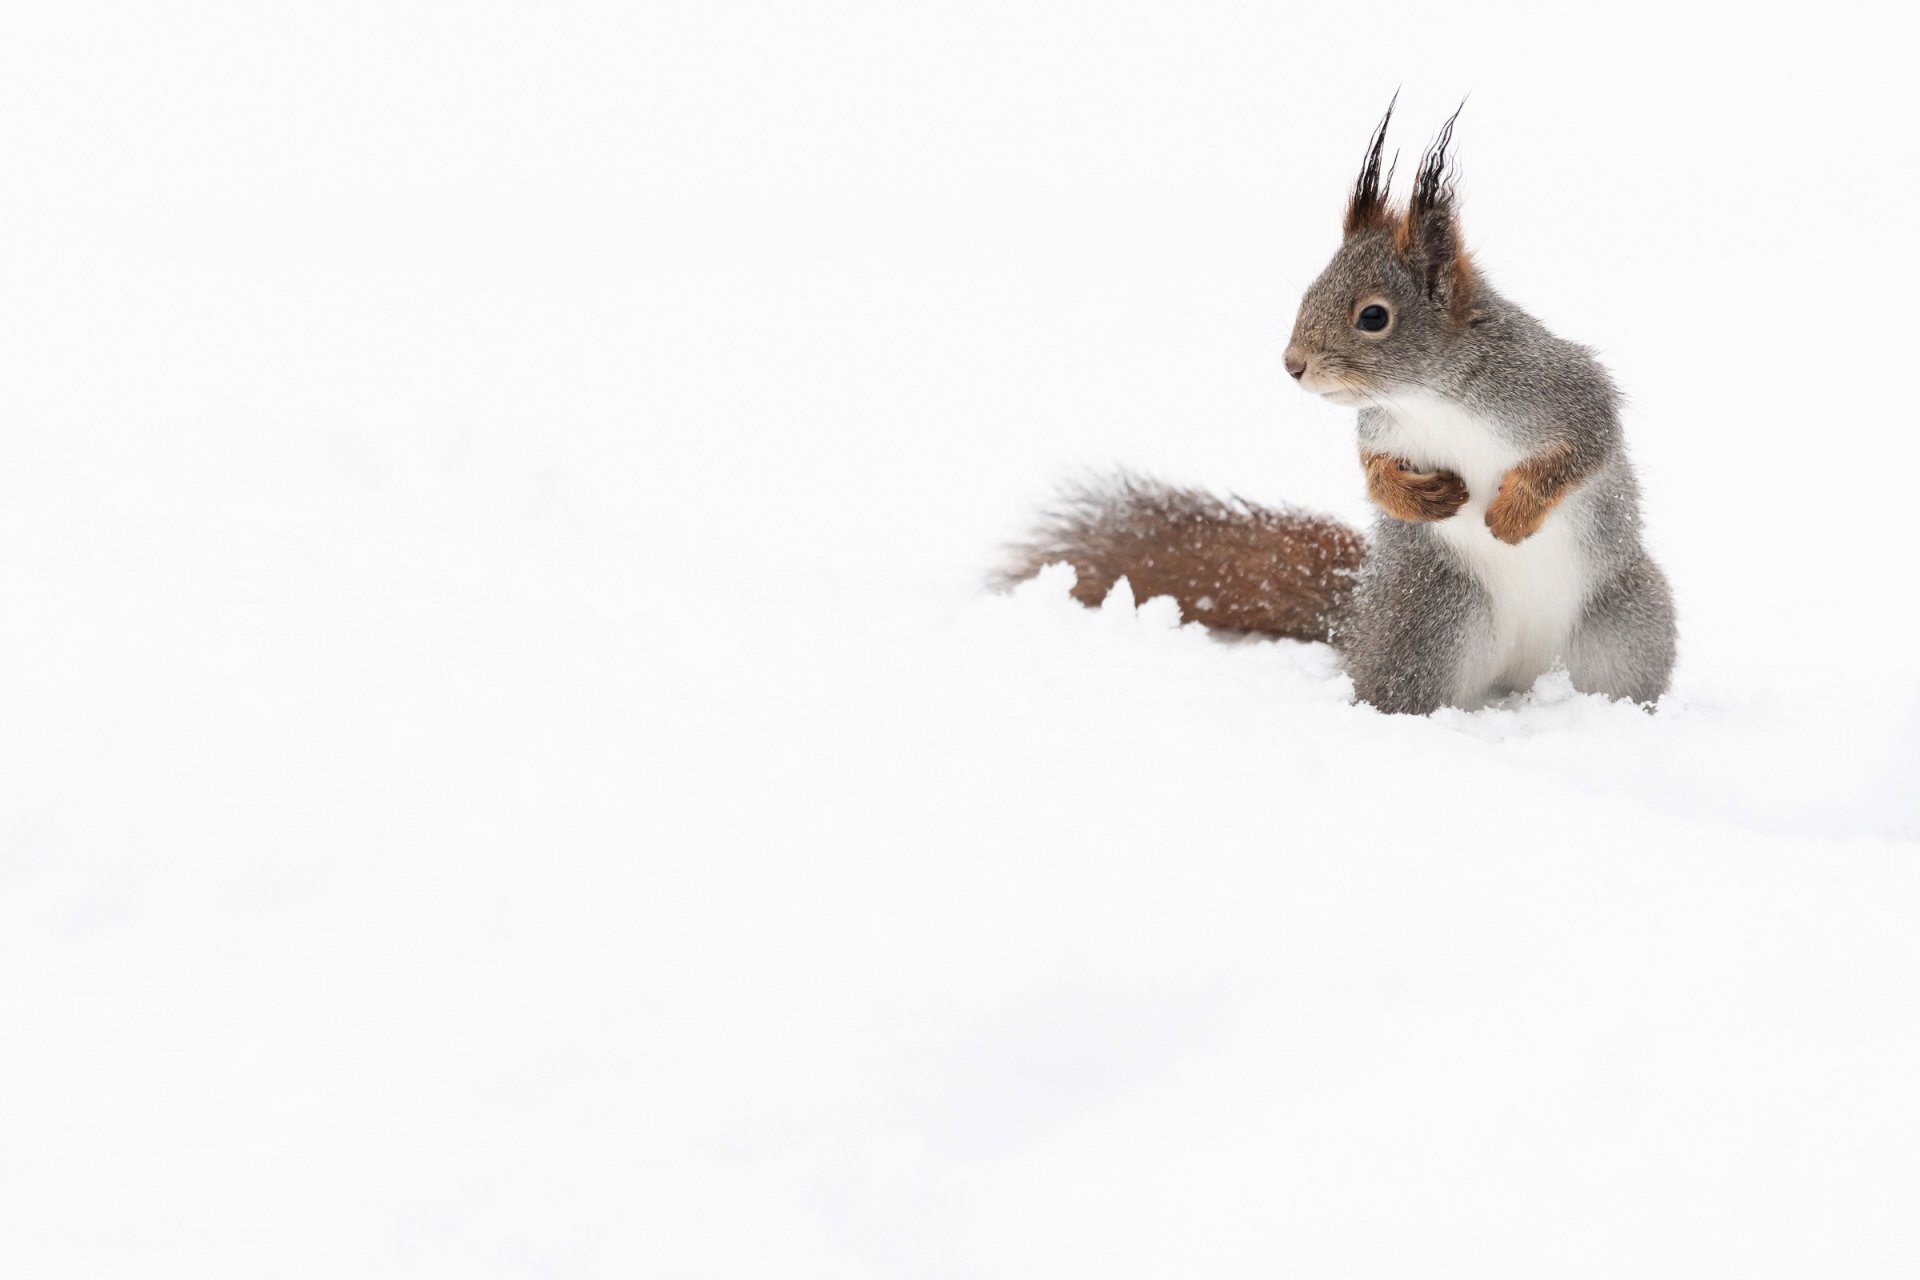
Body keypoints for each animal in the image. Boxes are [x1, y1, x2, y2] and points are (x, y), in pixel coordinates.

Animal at [1002, 101, 1676, 715]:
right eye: (1310, 290)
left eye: (1373, 317)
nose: (1292, 364)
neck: (1429, 394)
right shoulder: (1382, 433)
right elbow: (1376, 475)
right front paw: (1421, 498)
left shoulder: (1557, 390)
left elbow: (1585, 448)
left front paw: (1513, 515)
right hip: (1427, 624)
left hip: (1627, 626)